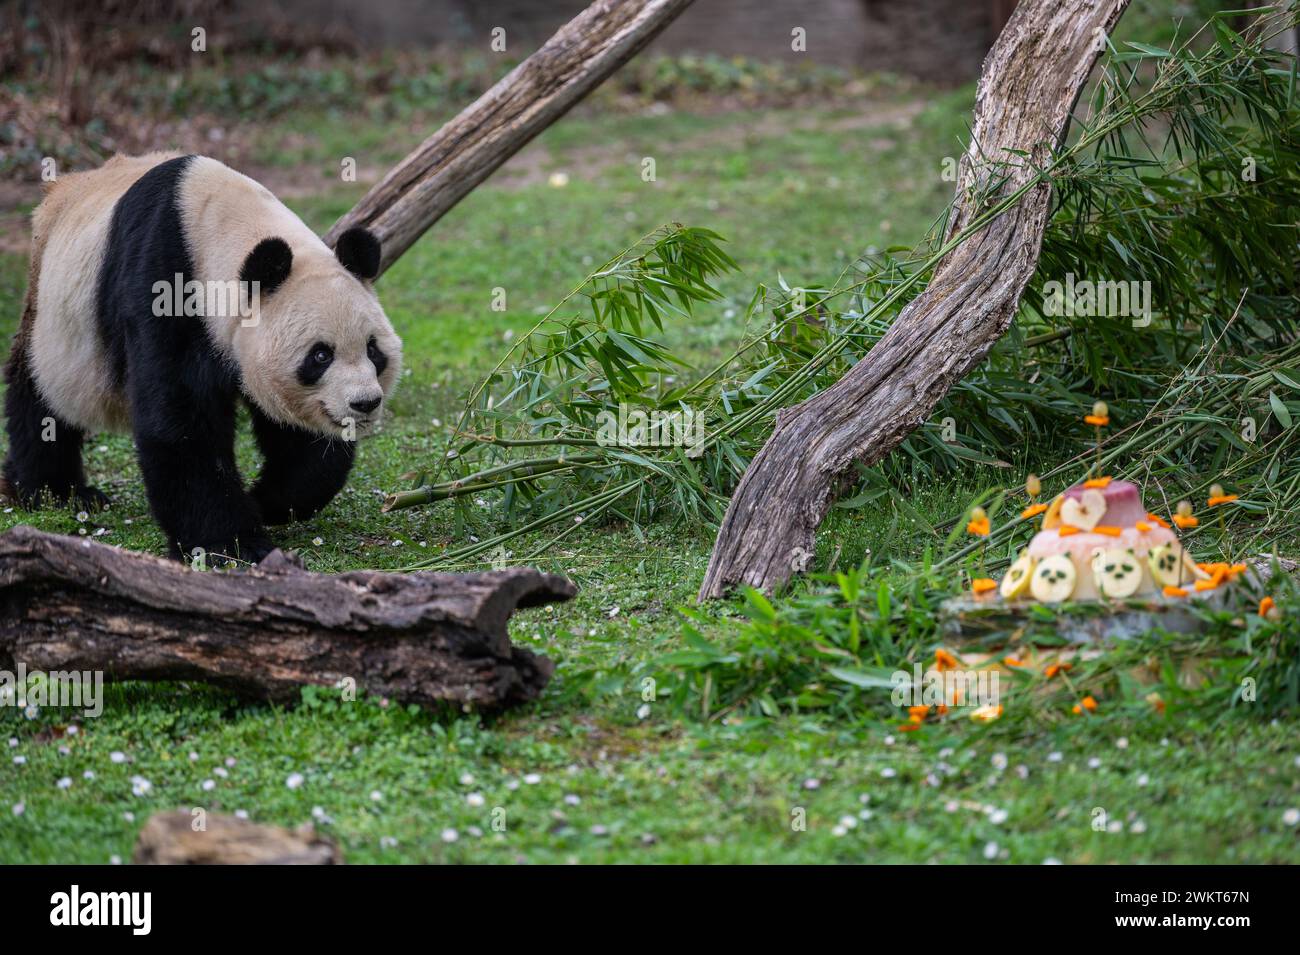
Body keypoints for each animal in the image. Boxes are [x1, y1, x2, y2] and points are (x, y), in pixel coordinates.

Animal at [1, 152, 403, 562]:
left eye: (373, 349)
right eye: (320, 355)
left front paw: (267, 501)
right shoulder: (161, 285)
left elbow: (301, 438)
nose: (365, 403)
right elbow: (180, 420)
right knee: (40, 395)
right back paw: (56, 492)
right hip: (56, 314)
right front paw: (229, 544)